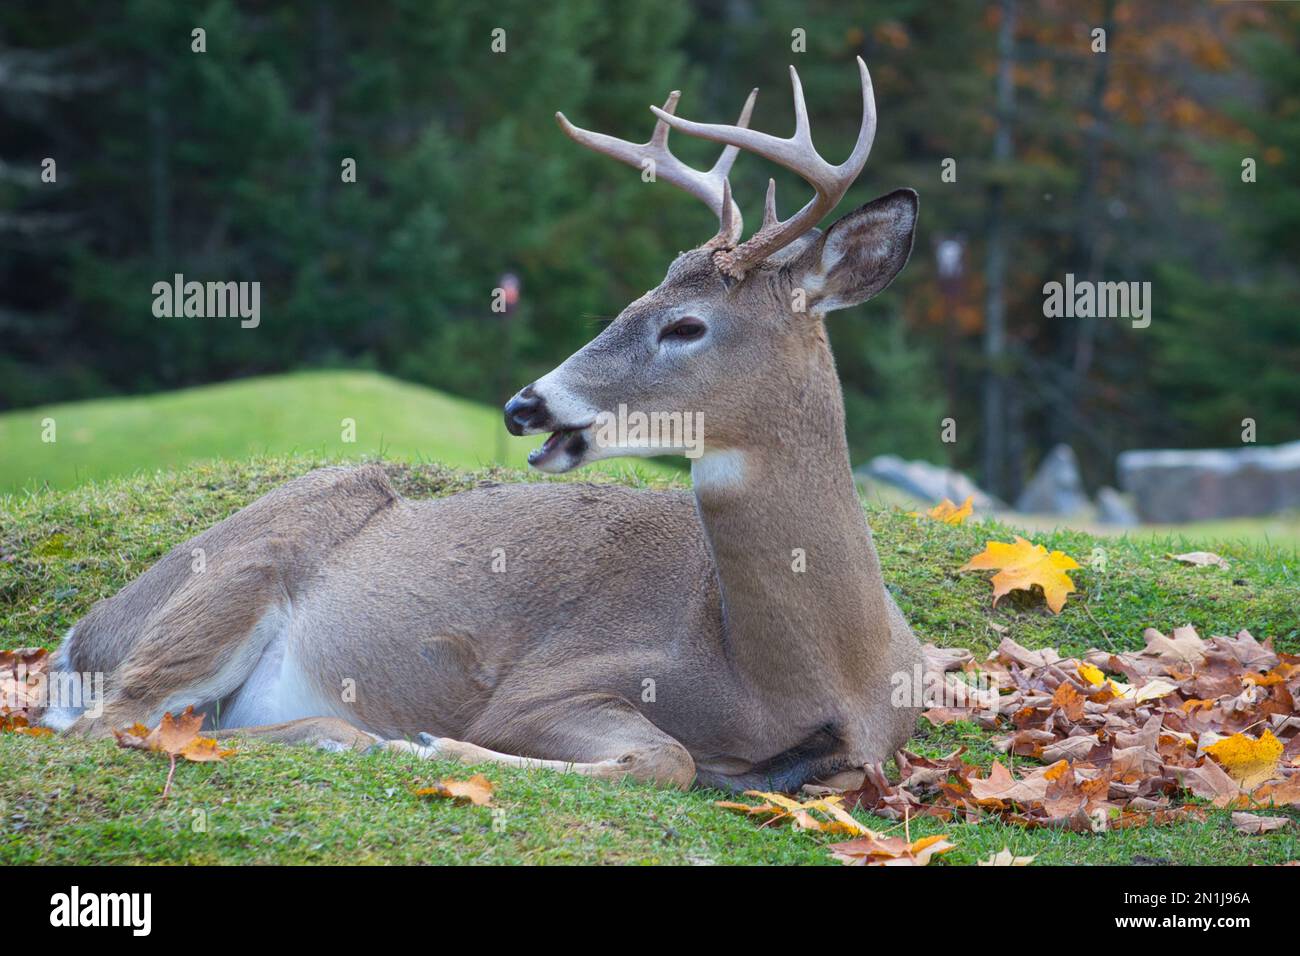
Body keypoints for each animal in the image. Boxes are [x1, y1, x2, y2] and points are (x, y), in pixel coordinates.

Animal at [41, 58, 924, 792]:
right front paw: (439, 746)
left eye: (686, 325)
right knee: (111, 723)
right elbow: (665, 759)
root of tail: (72, 643)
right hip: (239, 572)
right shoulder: (545, 685)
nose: (523, 405)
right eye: (638, 298)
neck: (796, 673)